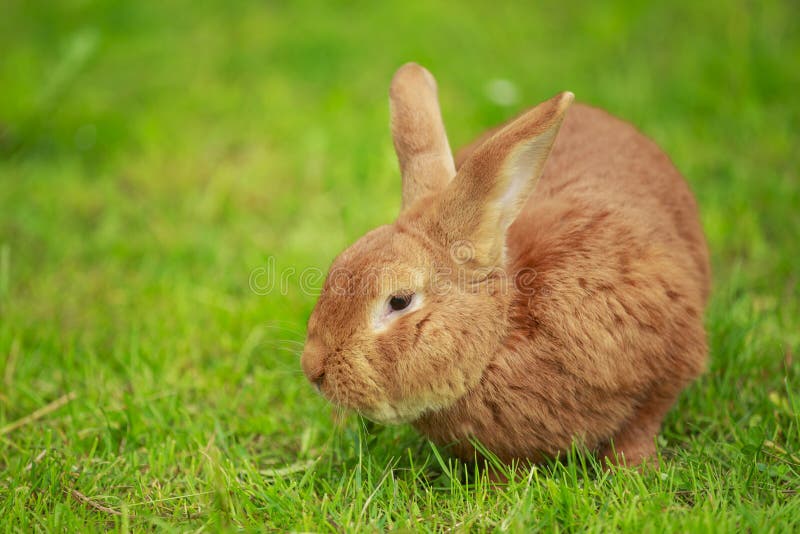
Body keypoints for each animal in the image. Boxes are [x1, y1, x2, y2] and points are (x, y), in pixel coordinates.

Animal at [301, 63, 710, 467]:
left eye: (399, 301)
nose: (312, 368)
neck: (504, 332)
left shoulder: (669, 360)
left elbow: (642, 420)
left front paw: (631, 465)